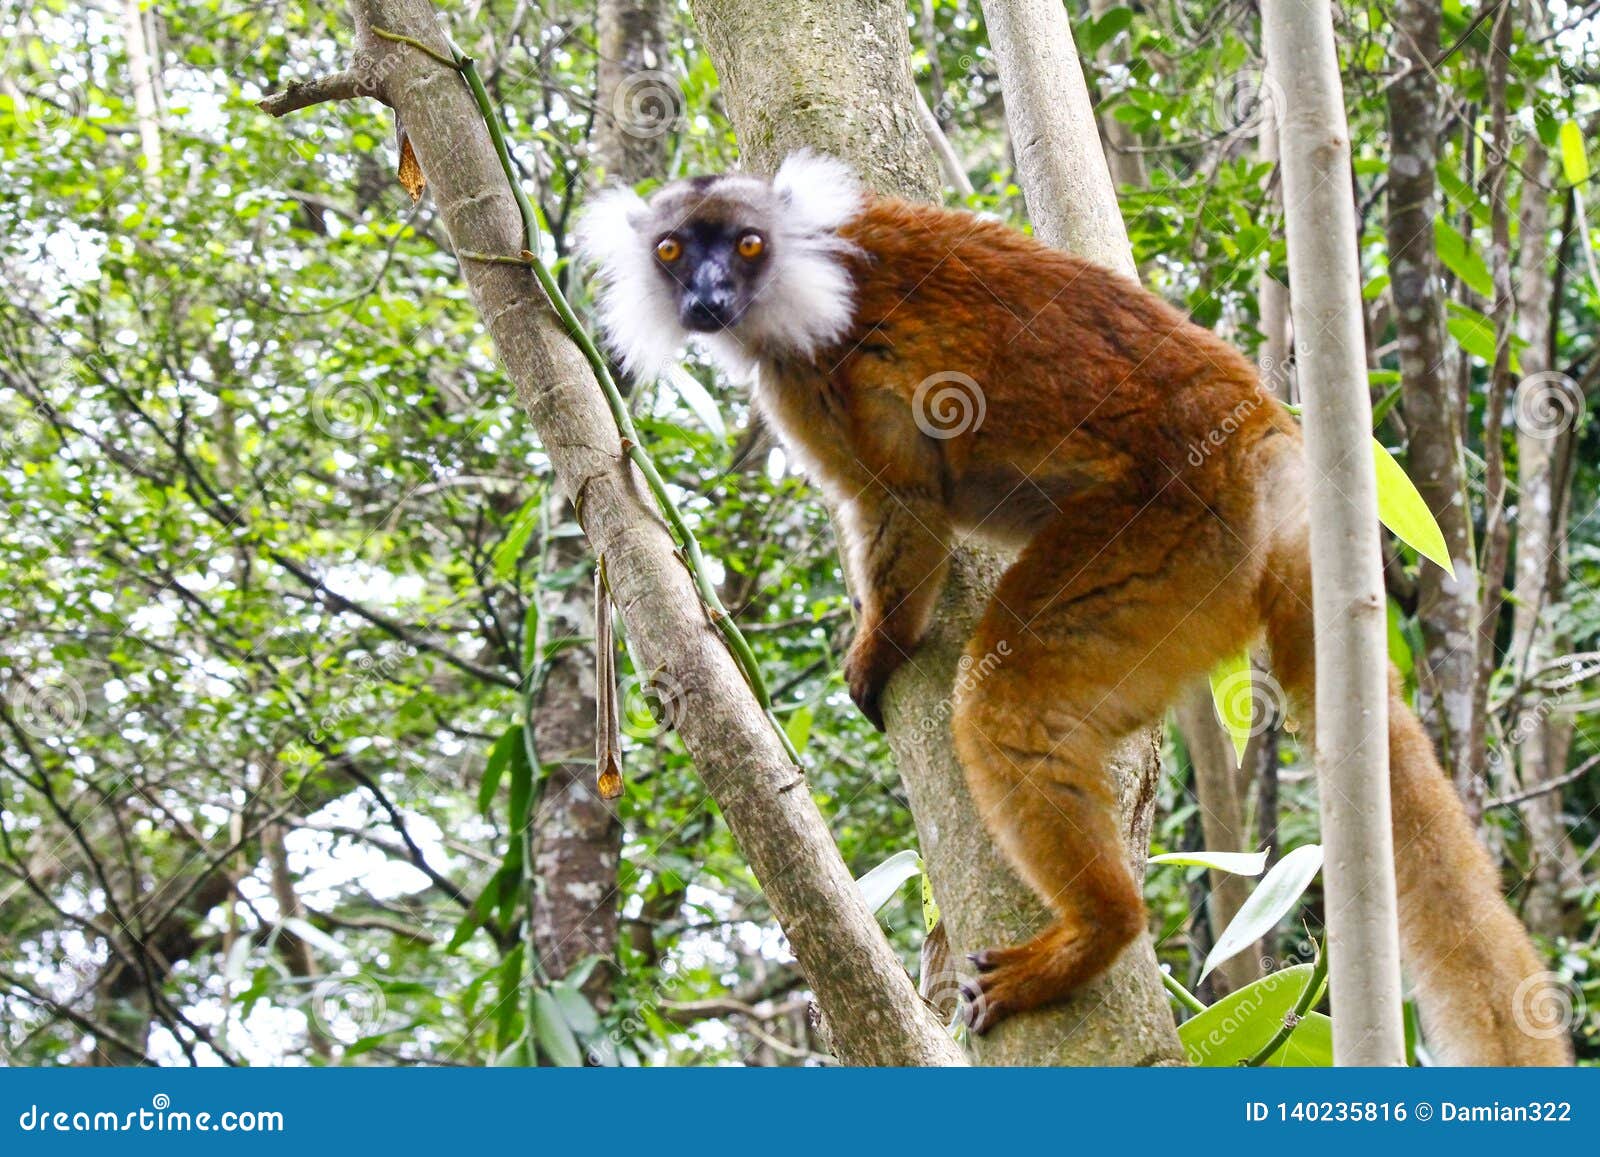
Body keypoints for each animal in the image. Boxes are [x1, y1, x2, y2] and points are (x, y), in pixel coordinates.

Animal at [575, 152, 1572, 1065]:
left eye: (745, 246)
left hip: (1166, 540)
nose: (708, 297)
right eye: (673, 251)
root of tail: (1265, 439)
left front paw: (875, 648)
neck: (812, 265)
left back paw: (1098, 932)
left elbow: (905, 503)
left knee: (1005, 690)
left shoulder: (821, 375)